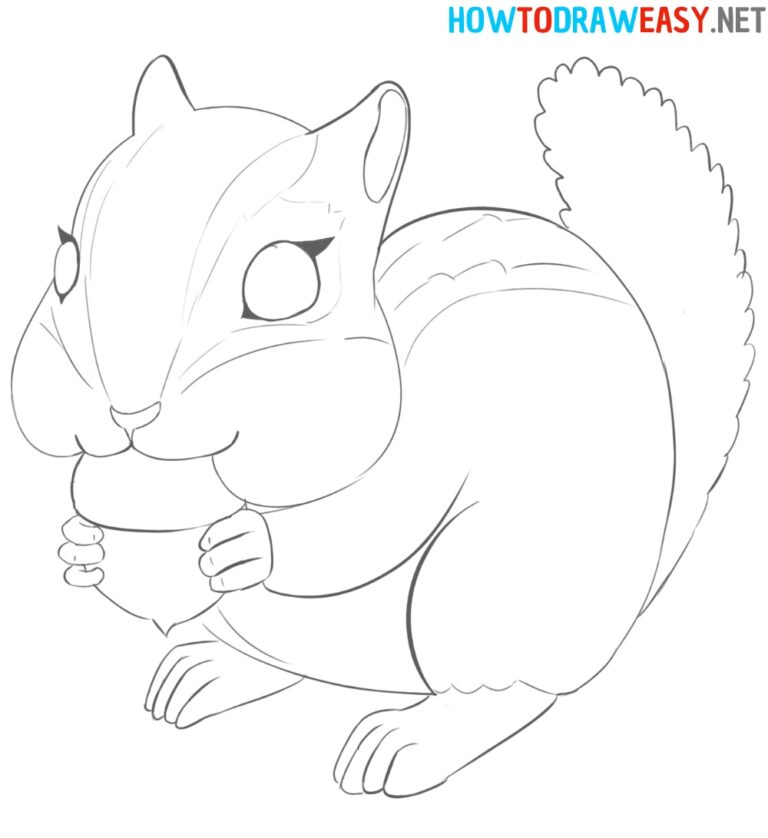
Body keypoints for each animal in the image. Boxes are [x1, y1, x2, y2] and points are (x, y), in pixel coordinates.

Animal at [11, 56, 753, 797]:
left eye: (283, 281)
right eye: (65, 262)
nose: (127, 412)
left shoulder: (435, 434)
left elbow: (371, 524)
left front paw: (250, 546)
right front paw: (83, 549)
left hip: (487, 592)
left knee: (513, 695)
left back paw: (412, 738)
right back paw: (210, 670)